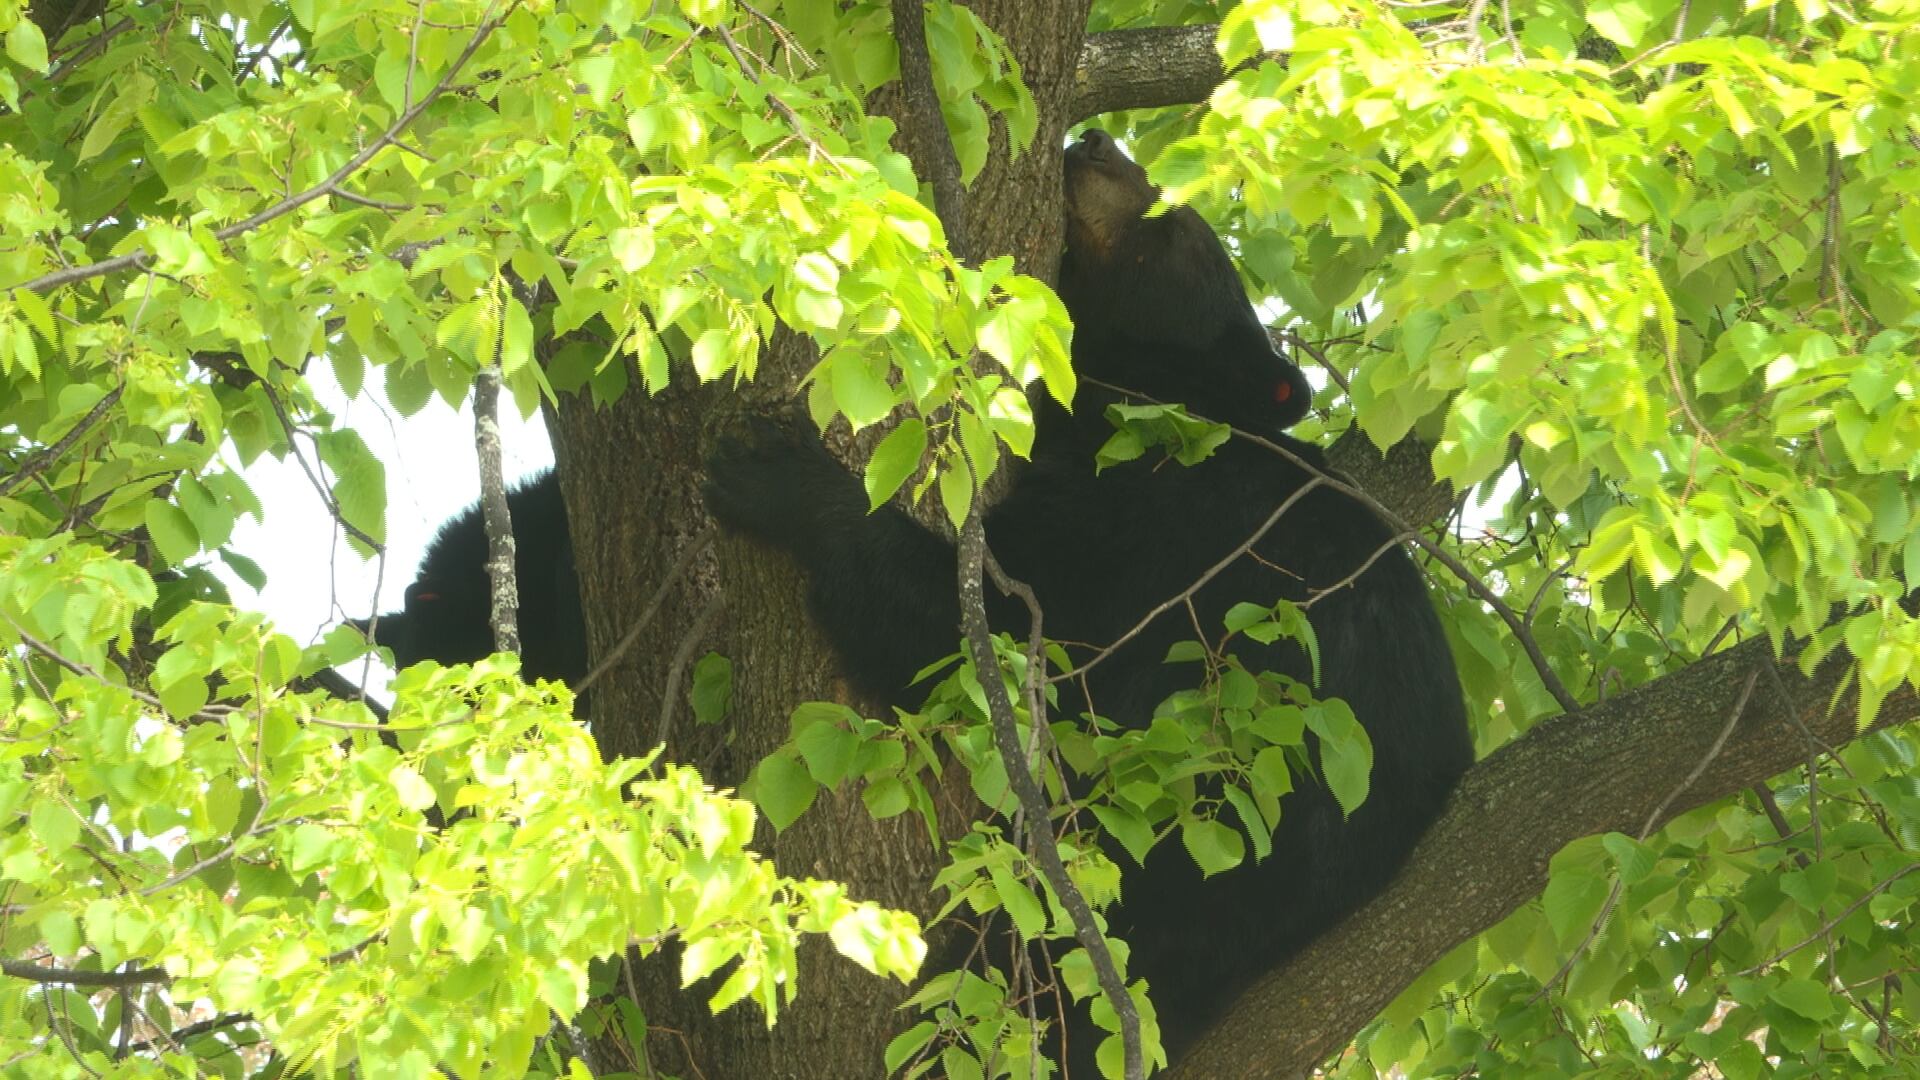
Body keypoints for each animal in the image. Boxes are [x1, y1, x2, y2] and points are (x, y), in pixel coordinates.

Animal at [701, 129, 1473, 1071]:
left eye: (1172, 218)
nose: (1097, 141)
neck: (1152, 408)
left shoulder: (1166, 523)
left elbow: (1004, 640)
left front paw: (775, 474)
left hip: (1207, 844)